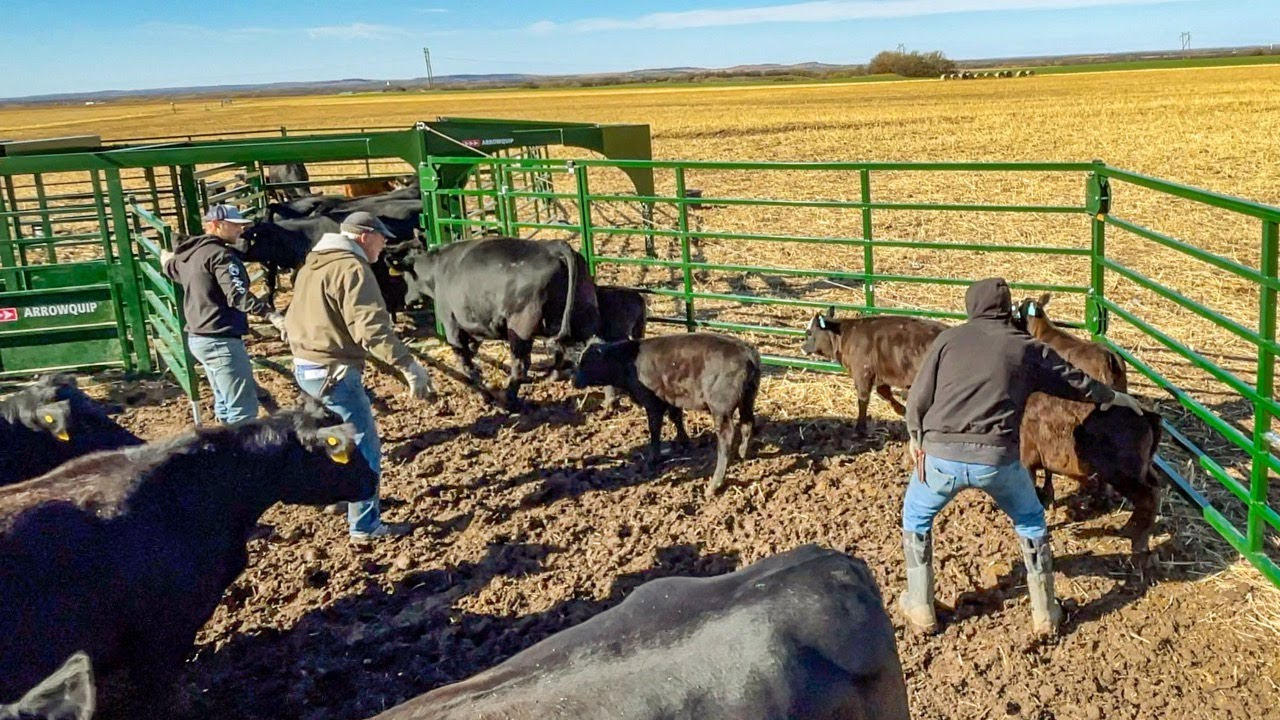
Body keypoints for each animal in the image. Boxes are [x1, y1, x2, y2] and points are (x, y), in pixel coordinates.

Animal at [400, 237, 599, 409]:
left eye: (405, 278)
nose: (406, 300)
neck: (438, 270)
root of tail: (552, 246)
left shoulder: (452, 326)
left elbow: (465, 363)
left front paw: (485, 393)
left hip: (520, 328)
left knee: (520, 367)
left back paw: (508, 400)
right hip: (586, 315)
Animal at [574, 333, 760, 496]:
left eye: (586, 362)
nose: (573, 381)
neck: (627, 361)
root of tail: (746, 351)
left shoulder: (652, 402)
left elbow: (654, 429)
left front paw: (653, 458)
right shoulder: (672, 398)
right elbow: (676, 417)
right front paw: (683, 442)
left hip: (721, 409)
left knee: (726, 438)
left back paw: (714, 485)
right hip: (747, 400)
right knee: (747, 423)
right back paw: (743, 453)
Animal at [800, 310, 947, 436]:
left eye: (809, 332)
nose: (802, 348)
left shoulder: (862, 373)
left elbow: (863, 399)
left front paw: (860, 428)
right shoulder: (881, 375)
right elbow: (883, 392)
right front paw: (901, 410)